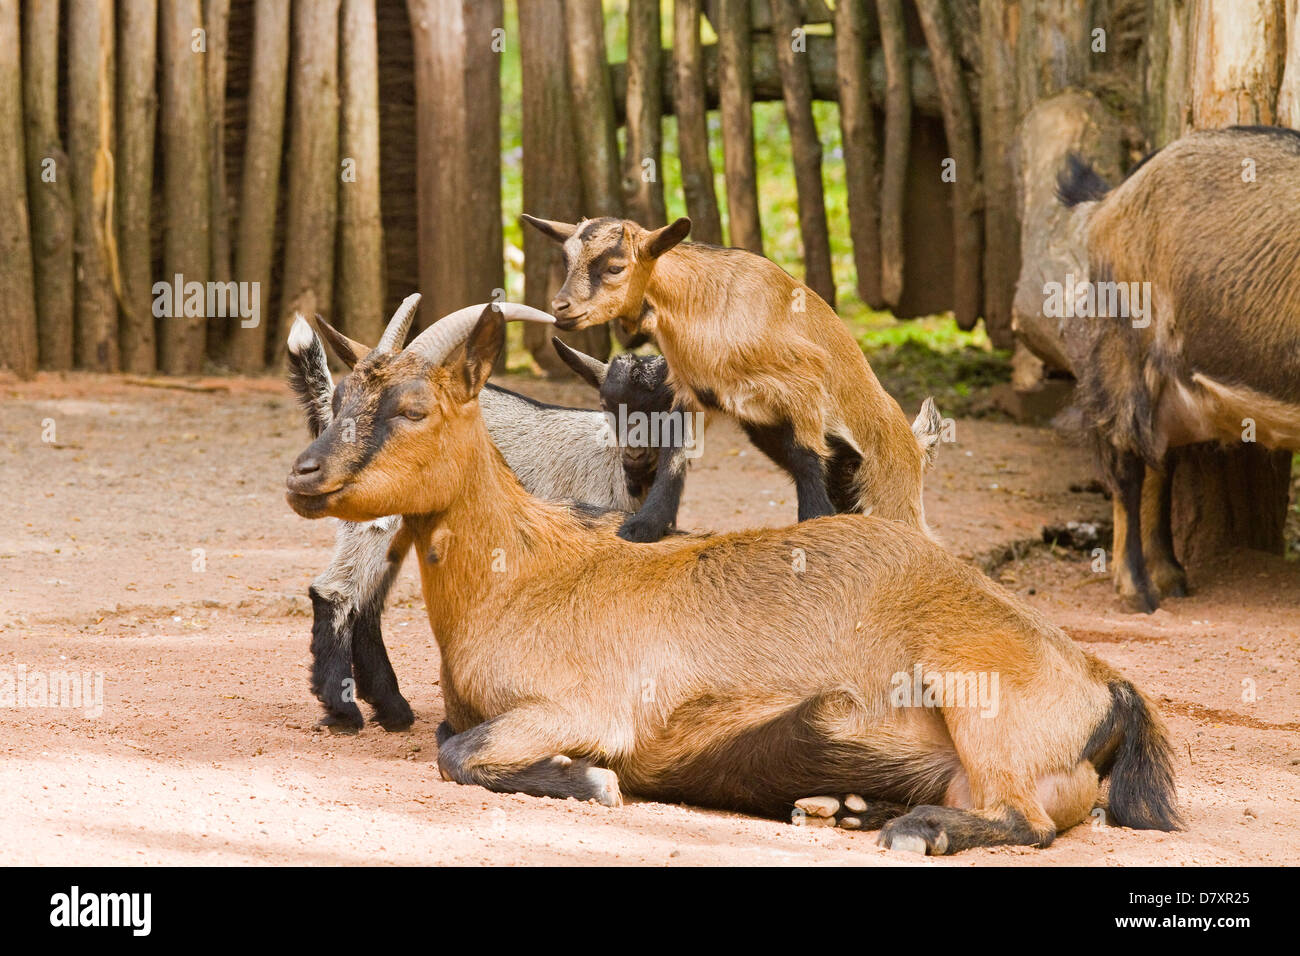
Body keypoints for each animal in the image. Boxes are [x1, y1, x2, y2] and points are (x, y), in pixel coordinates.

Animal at [285, 295, 674, 731]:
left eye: (668, 406)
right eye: (609, 406)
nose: (638, 453)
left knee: (368, 604)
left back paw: (392, 709)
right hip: (374, 522)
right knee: (336, 591)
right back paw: (344, 710)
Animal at [521, 214, 943, 543]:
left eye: (615, 267)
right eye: (567, 262)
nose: (561, 308)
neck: (707, 304)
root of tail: (914, 444)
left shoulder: (805, 384)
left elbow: (806, 459)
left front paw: (813, 526)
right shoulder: (690, 394)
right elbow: (674, 459)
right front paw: (644, 527)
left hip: (891, 489)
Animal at [1057, 126, 1300, 612]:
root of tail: (1114, 198)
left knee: (1159, 462)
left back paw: (1168, 574)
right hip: (1127, 351)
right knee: (1129, 464)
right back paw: (1138, 588)